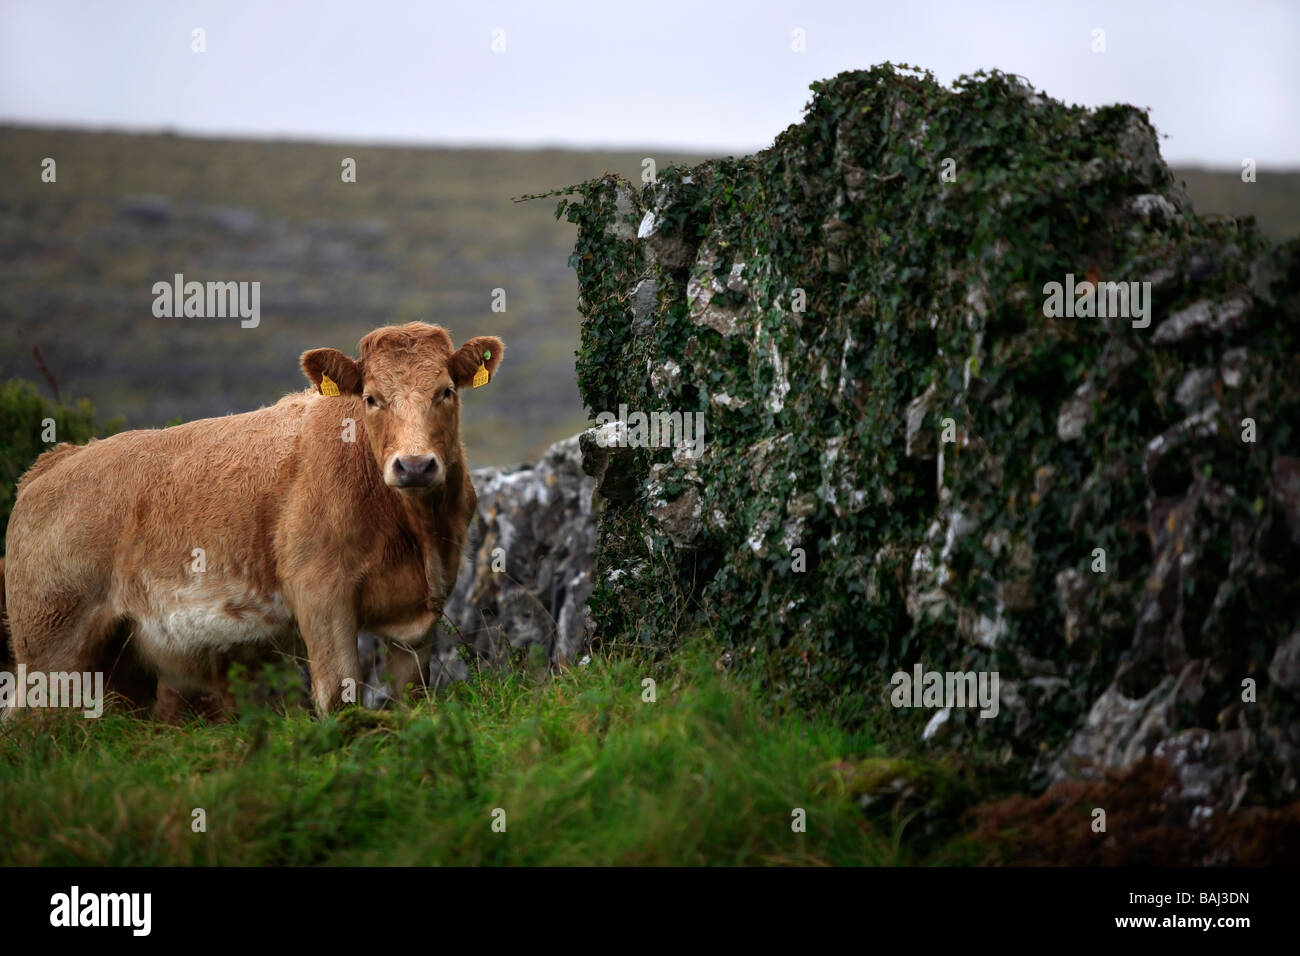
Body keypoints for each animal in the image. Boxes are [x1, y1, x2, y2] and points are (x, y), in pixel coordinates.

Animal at [1, 322, 503, 719]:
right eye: (371, 398)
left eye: (446, 391)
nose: (415, 466)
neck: (414, 534)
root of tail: (54, 461)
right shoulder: (322, 598)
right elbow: (339, 699)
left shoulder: (417, 620)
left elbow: (409, 700)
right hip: (51, 652)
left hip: (119, 668)